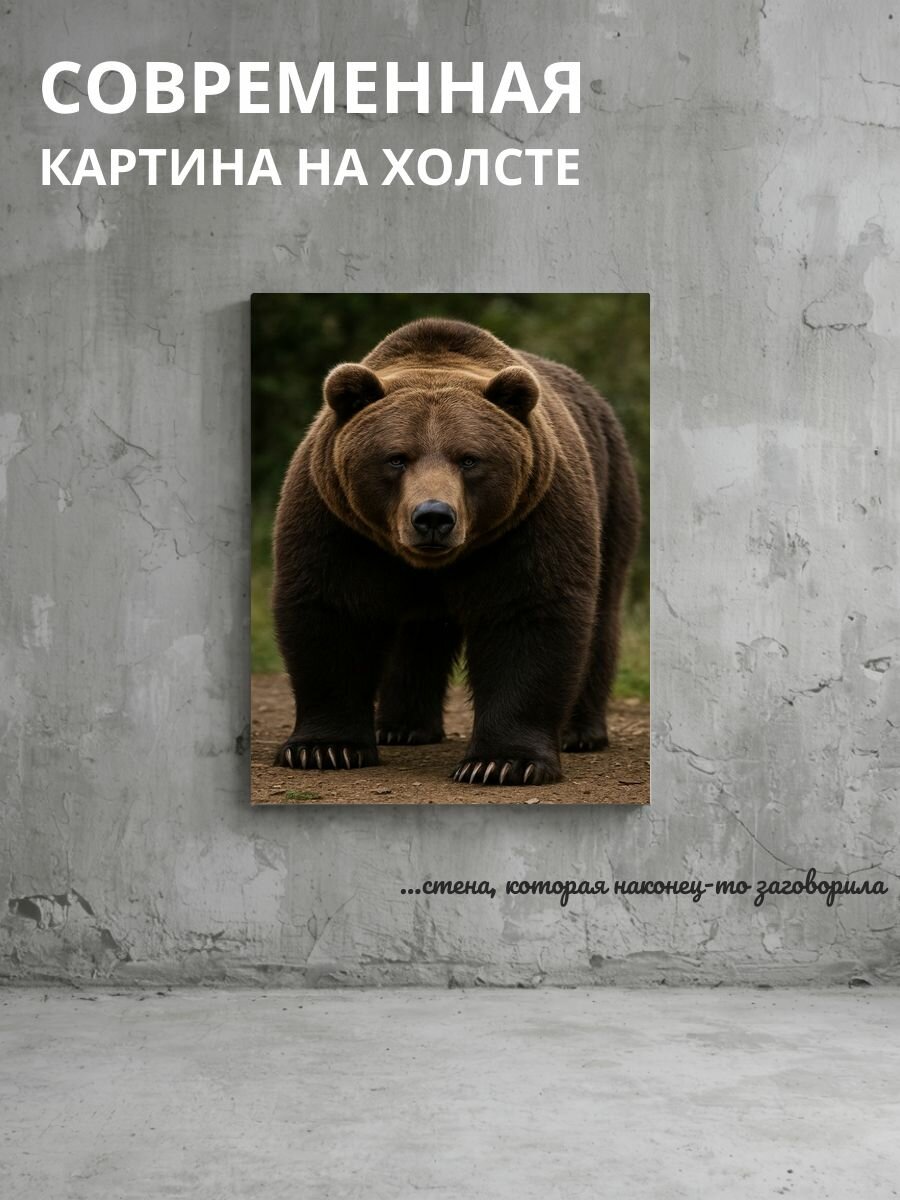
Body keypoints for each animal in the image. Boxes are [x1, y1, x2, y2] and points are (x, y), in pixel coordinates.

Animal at [270, 317, 641, 786]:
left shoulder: (530, 520)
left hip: (611, 493)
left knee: (601, 612)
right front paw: (324, 748)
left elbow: (529, 615)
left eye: (469, 458)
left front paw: (502, 762)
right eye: (396, 458)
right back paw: (401, 726)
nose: (433, 516)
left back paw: (580, 732)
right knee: (418, 631)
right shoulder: (337, 523)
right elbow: (333, 611)